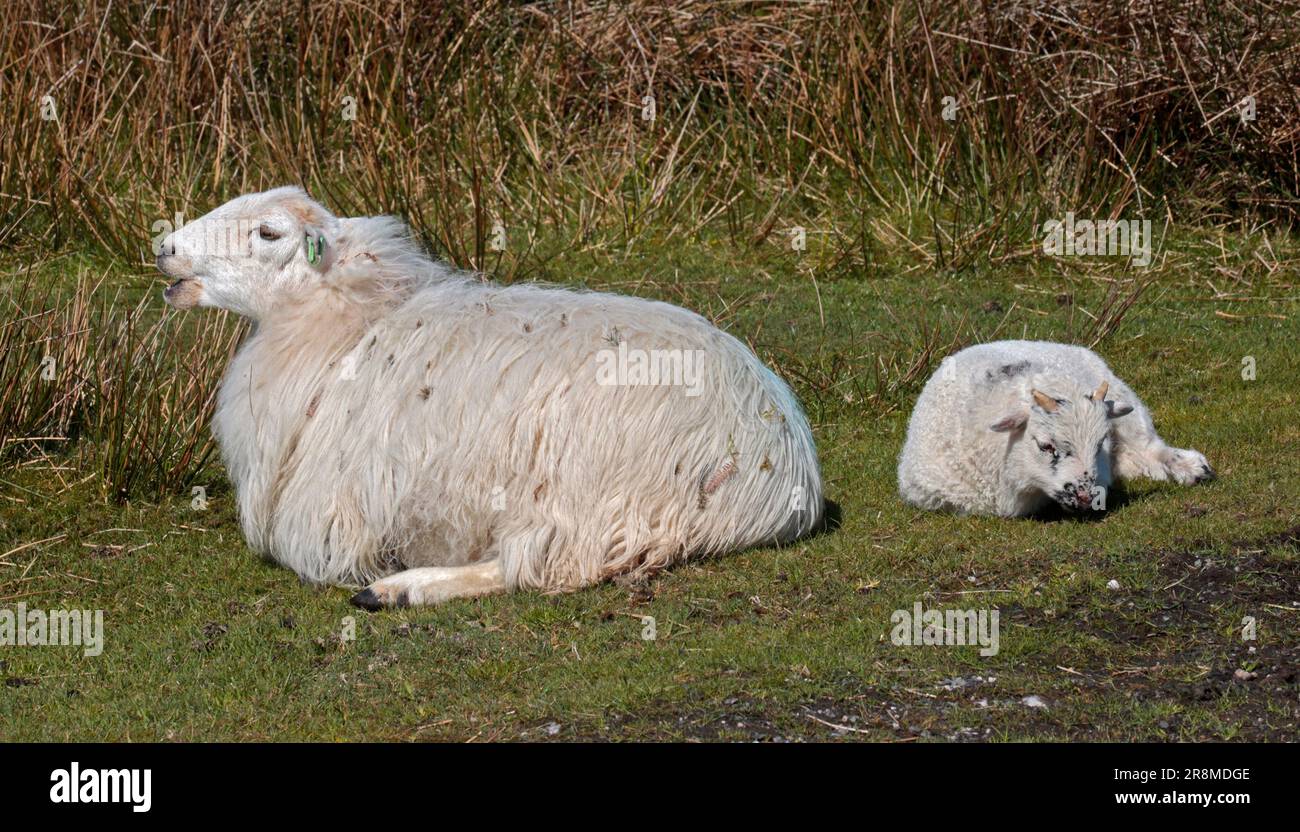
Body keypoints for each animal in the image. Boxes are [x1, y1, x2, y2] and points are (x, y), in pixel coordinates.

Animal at [156, 187, 823, 607]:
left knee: (536, 564)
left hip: (580, 489)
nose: (165, 246)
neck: (348, 328)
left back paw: (399, 588)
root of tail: (785, 474)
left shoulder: (332, 516)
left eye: (268, 233)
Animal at [897, 340, 1214, 517]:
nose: (1087, 498)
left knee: (1148, 447)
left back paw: (1192, 467)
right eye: (1045, 445)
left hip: (1124, 402)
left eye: (1100, 443)